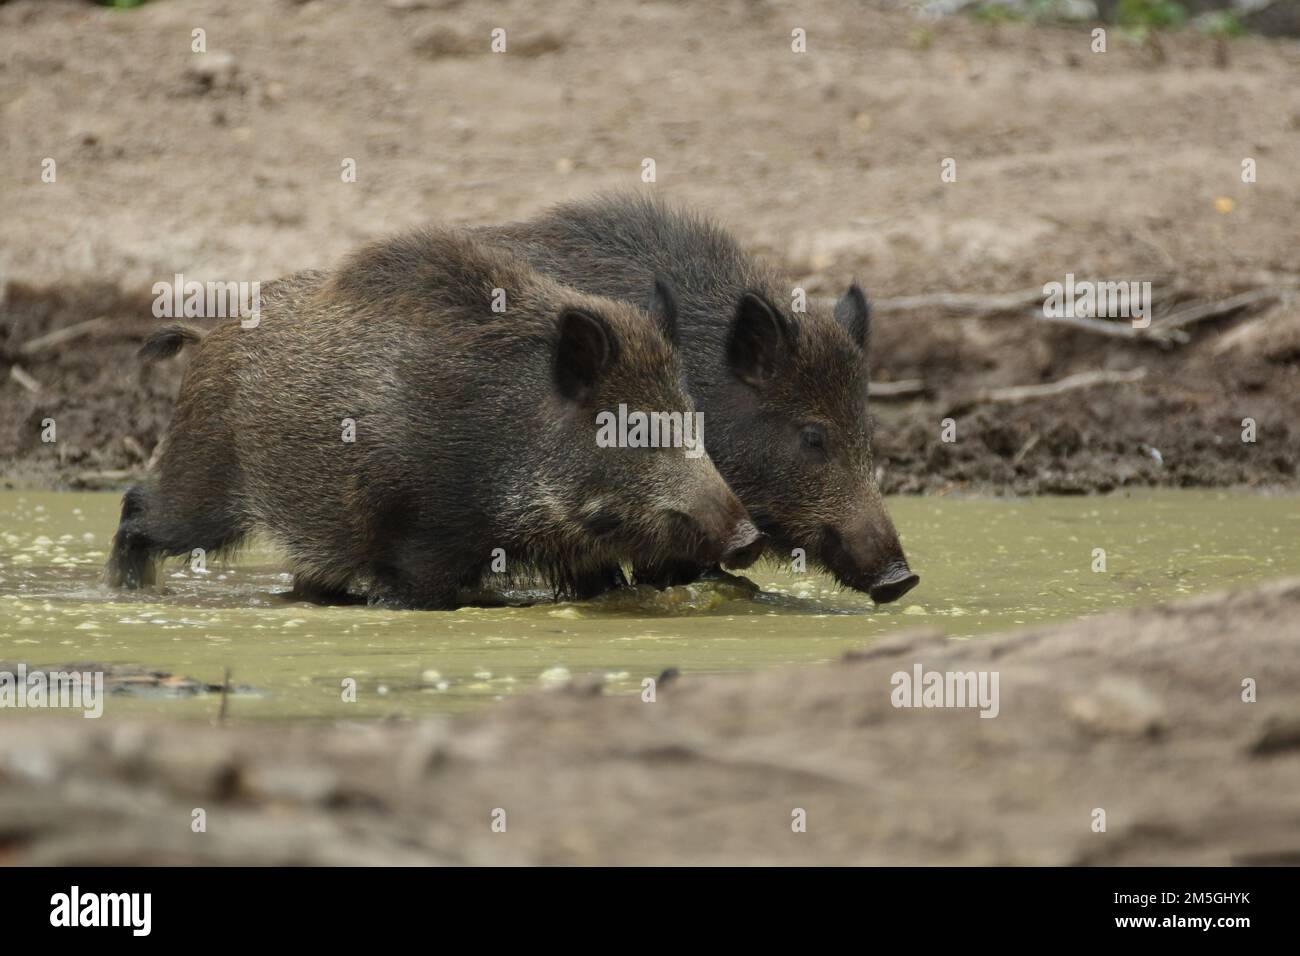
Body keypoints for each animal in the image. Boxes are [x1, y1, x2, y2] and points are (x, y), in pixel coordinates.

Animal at [105, 227, 762, 609]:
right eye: (627, 426)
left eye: (690, 416)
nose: (750, 538)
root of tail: (208, 337)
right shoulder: (422, 543)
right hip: (203, 483)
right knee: (139, 508)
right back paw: (126, 589)